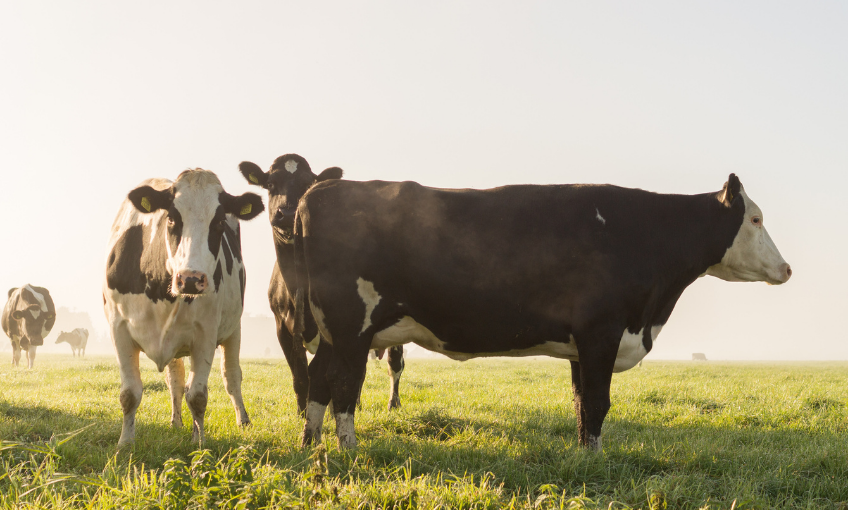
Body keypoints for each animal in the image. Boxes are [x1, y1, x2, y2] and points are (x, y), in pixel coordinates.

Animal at [103, 169, 264, 446]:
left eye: (219, 222)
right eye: (171, 219)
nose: (190, 279)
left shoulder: (205, 335)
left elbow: (198, 396)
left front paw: (199, 443)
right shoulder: (118, 329)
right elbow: (130, 393)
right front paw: (125, 444)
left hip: (234, 329)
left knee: (231, 376)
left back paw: (242, 420)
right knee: (176, 380)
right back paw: (176, 422)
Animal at [238, 154, 406, 414]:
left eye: (308, 184)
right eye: (271, 184)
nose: (288, 213)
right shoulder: (282, 327)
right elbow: (300, 376)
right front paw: (302, 413)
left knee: (394, 364)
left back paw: (392, 403)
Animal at [292, 173, 791, 450]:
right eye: (756, 219)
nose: (787, 268)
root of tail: (319, 189)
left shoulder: (580, 343)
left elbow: (581, 404)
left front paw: (585, 457)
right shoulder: (601, 332)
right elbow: (597, 403)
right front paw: (595, 461)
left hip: (335, 331)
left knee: (318, 380)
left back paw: (310, 444)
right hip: (350, 325)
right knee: (343, 384)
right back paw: (348, 448)